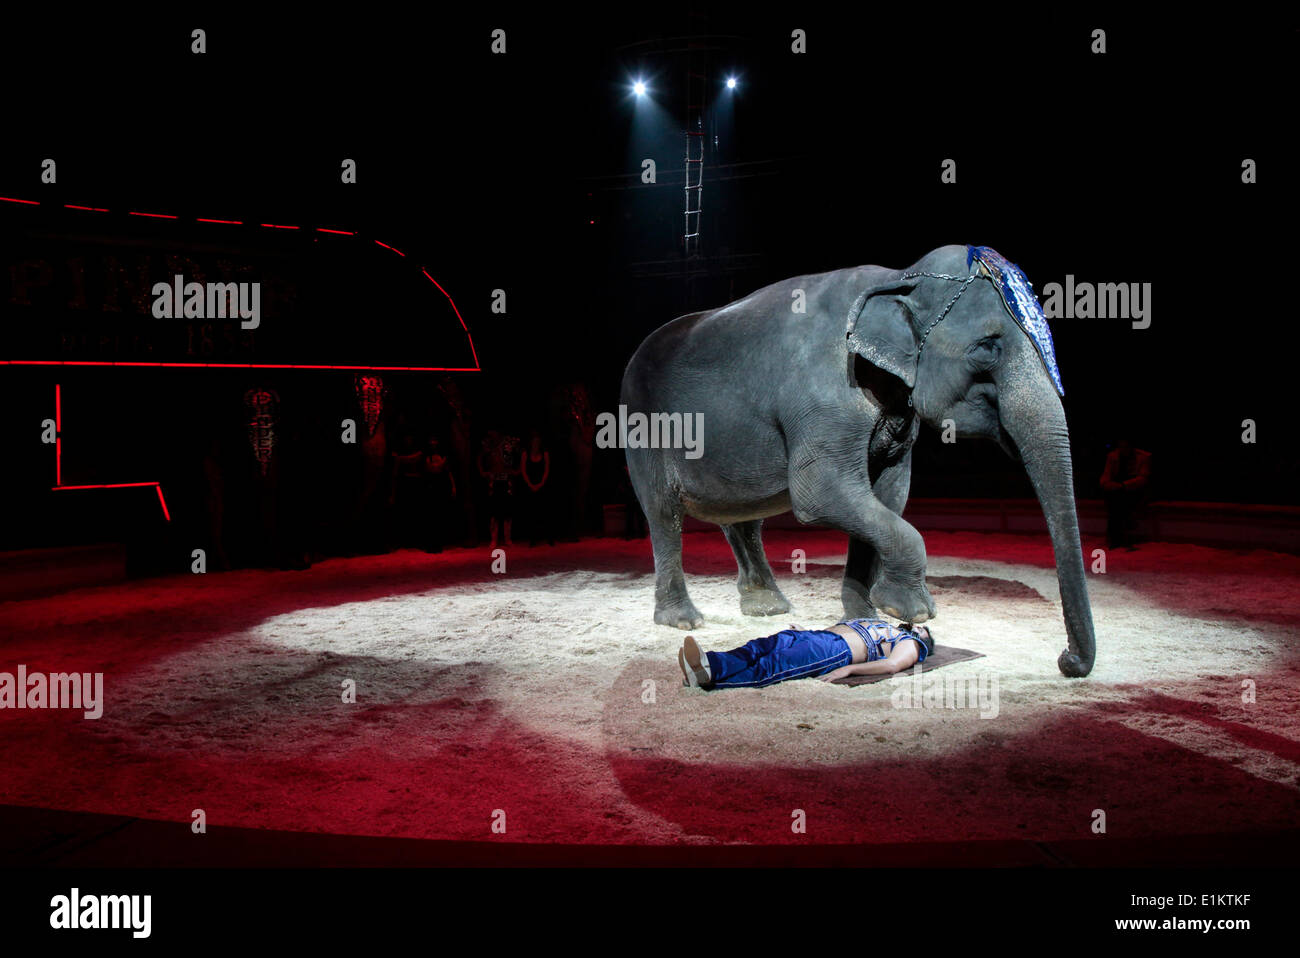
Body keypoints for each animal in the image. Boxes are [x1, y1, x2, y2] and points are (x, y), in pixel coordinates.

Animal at [620, 244, 1096, 677]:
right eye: (987, 347)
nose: (1066, 660)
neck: (899, 277)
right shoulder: (826, 393)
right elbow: (819, 492)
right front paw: (912, 611)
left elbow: (889, 495)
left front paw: (864, 615)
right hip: (643, 427)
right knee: (664, 514)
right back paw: (683, 619)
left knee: (744, 518)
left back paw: (768, 607)